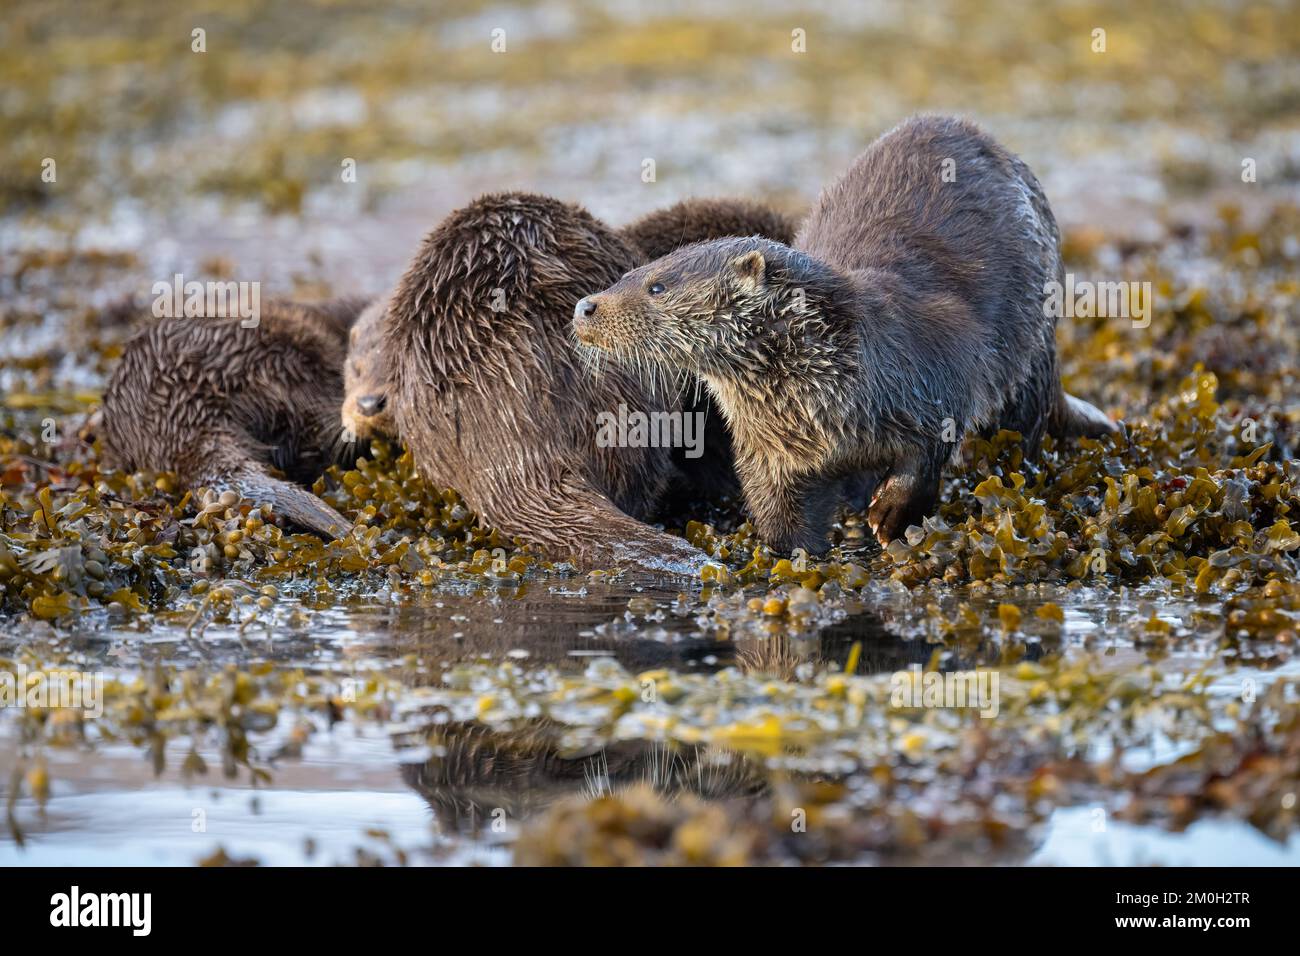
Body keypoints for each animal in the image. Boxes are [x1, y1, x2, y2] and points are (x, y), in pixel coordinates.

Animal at [574, 116, 1116, 553]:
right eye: (629, 271)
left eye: (657, 285)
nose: (585, 306)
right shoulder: (769, 455)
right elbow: (780, 515)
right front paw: (794, 552)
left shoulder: (939, 372)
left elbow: (925, 456)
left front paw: (889, 515)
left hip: (1031, 352)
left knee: (1023, 429)